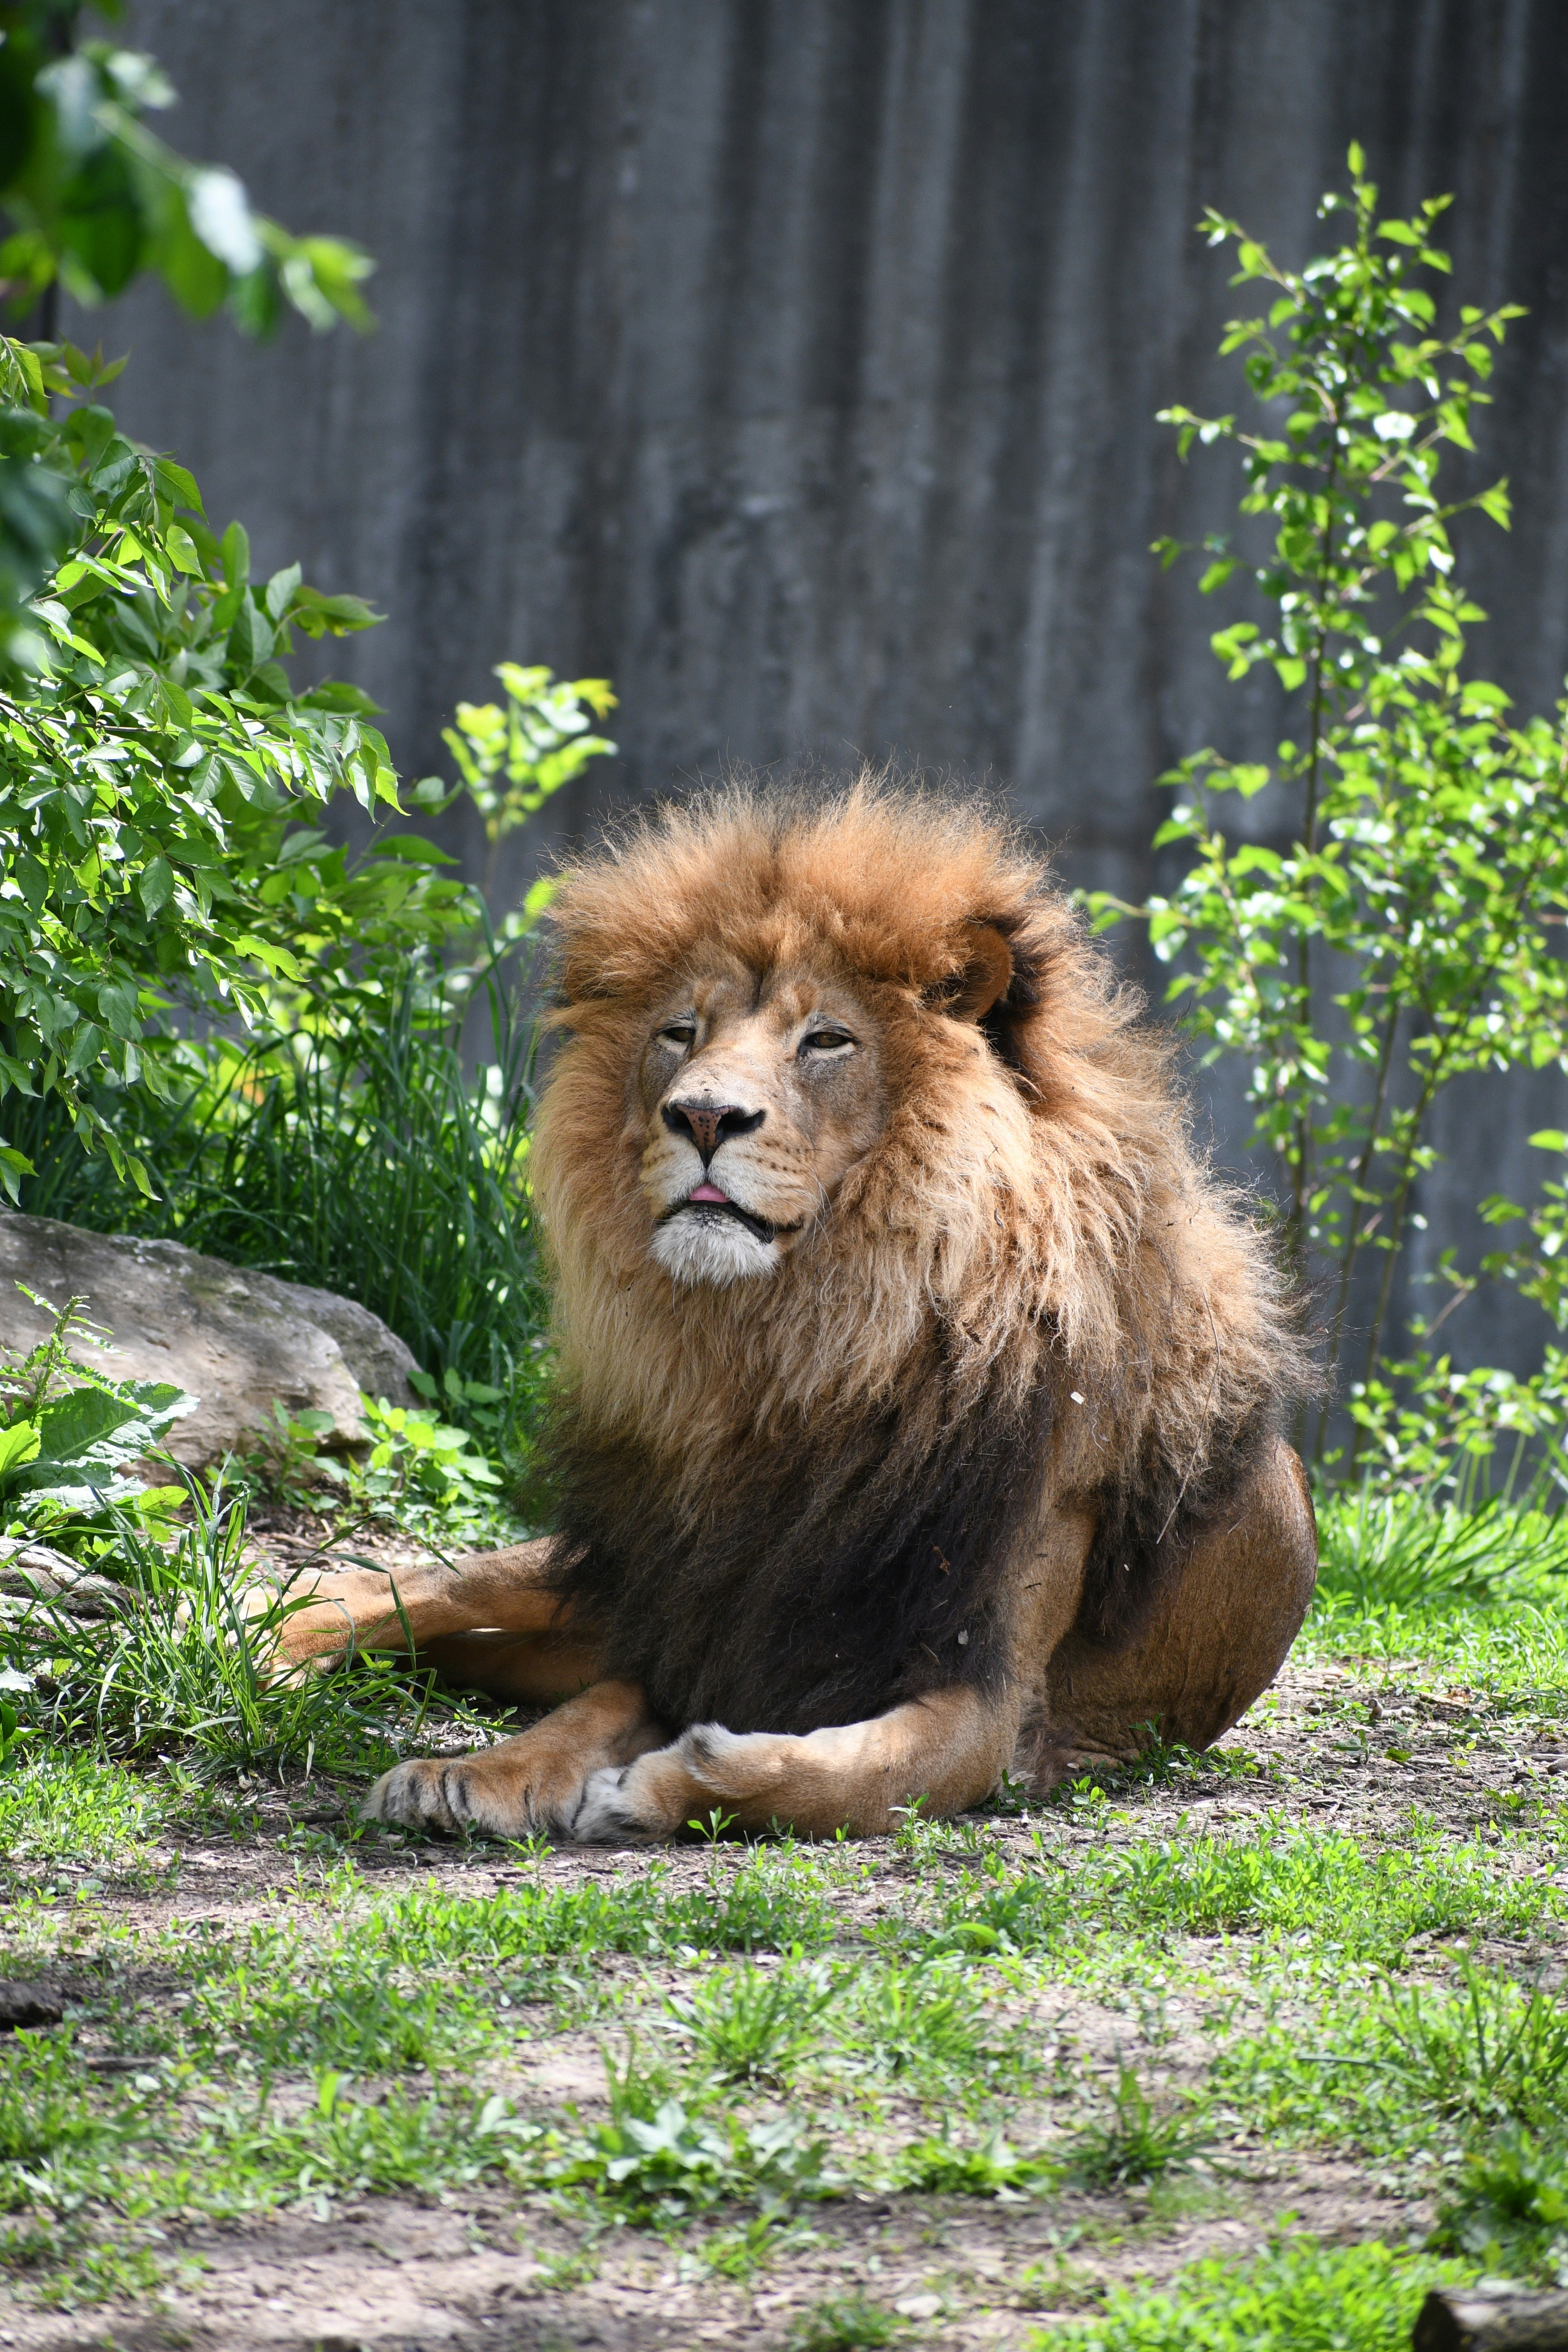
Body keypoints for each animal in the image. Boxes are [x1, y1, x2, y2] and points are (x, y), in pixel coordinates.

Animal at [273, 778, 1318, 1841]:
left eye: (825, 1040)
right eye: (680, 1033)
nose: (699, 1115)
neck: (805, 1350)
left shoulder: (980, 1691)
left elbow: (827, 1777)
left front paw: (663, 1782)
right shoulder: (708, 1606)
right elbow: (587, 1710)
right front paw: (473, 1774)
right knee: (429, 1582)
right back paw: (275, 1627)